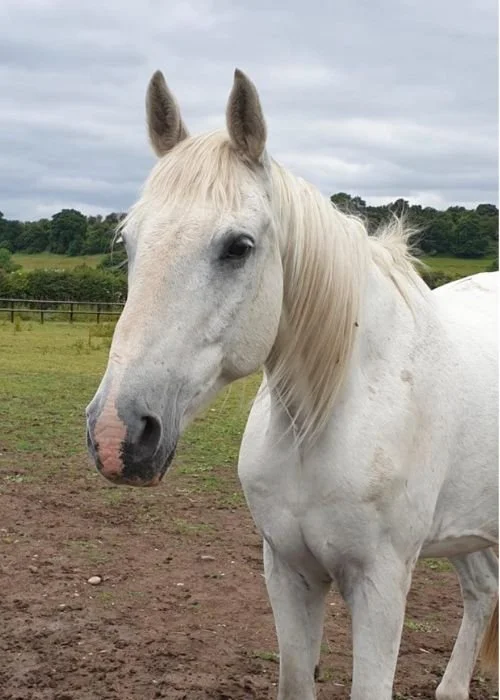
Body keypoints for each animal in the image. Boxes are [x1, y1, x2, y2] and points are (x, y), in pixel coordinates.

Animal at [86, 68, 498, 700]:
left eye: (238, 247)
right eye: (129, 242)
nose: (117, 435)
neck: (322, 422)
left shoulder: (381, 587)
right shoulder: (287, 571)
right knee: (480, 596)